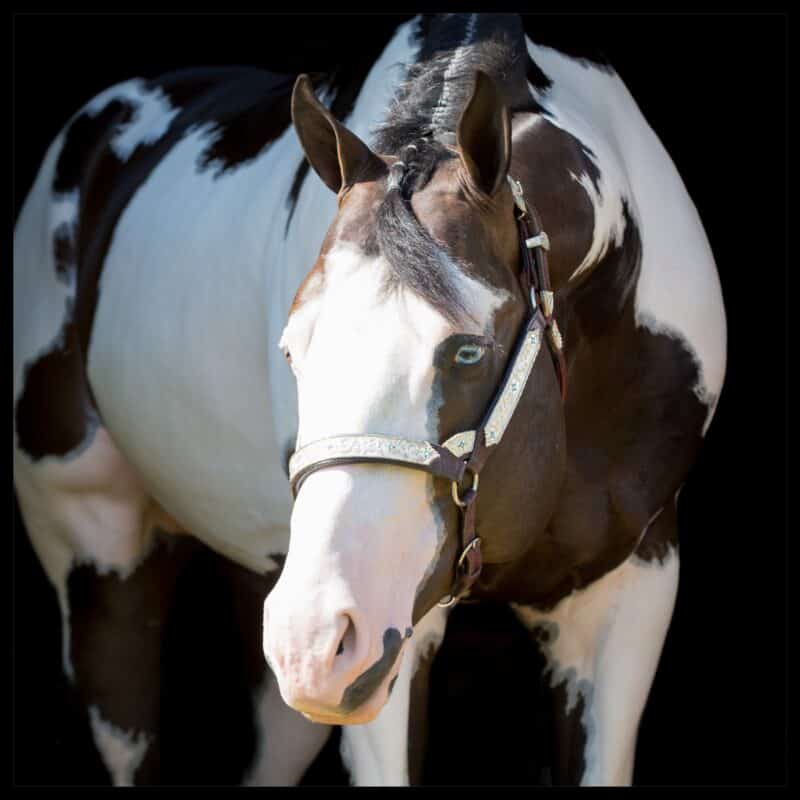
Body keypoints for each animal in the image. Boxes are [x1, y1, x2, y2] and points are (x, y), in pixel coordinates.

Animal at [13, 13, 726, 786]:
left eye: (468, 352)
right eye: (292, 350)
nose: (314, 641)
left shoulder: (631, 592)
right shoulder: (395, 630)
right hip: (102, 553)